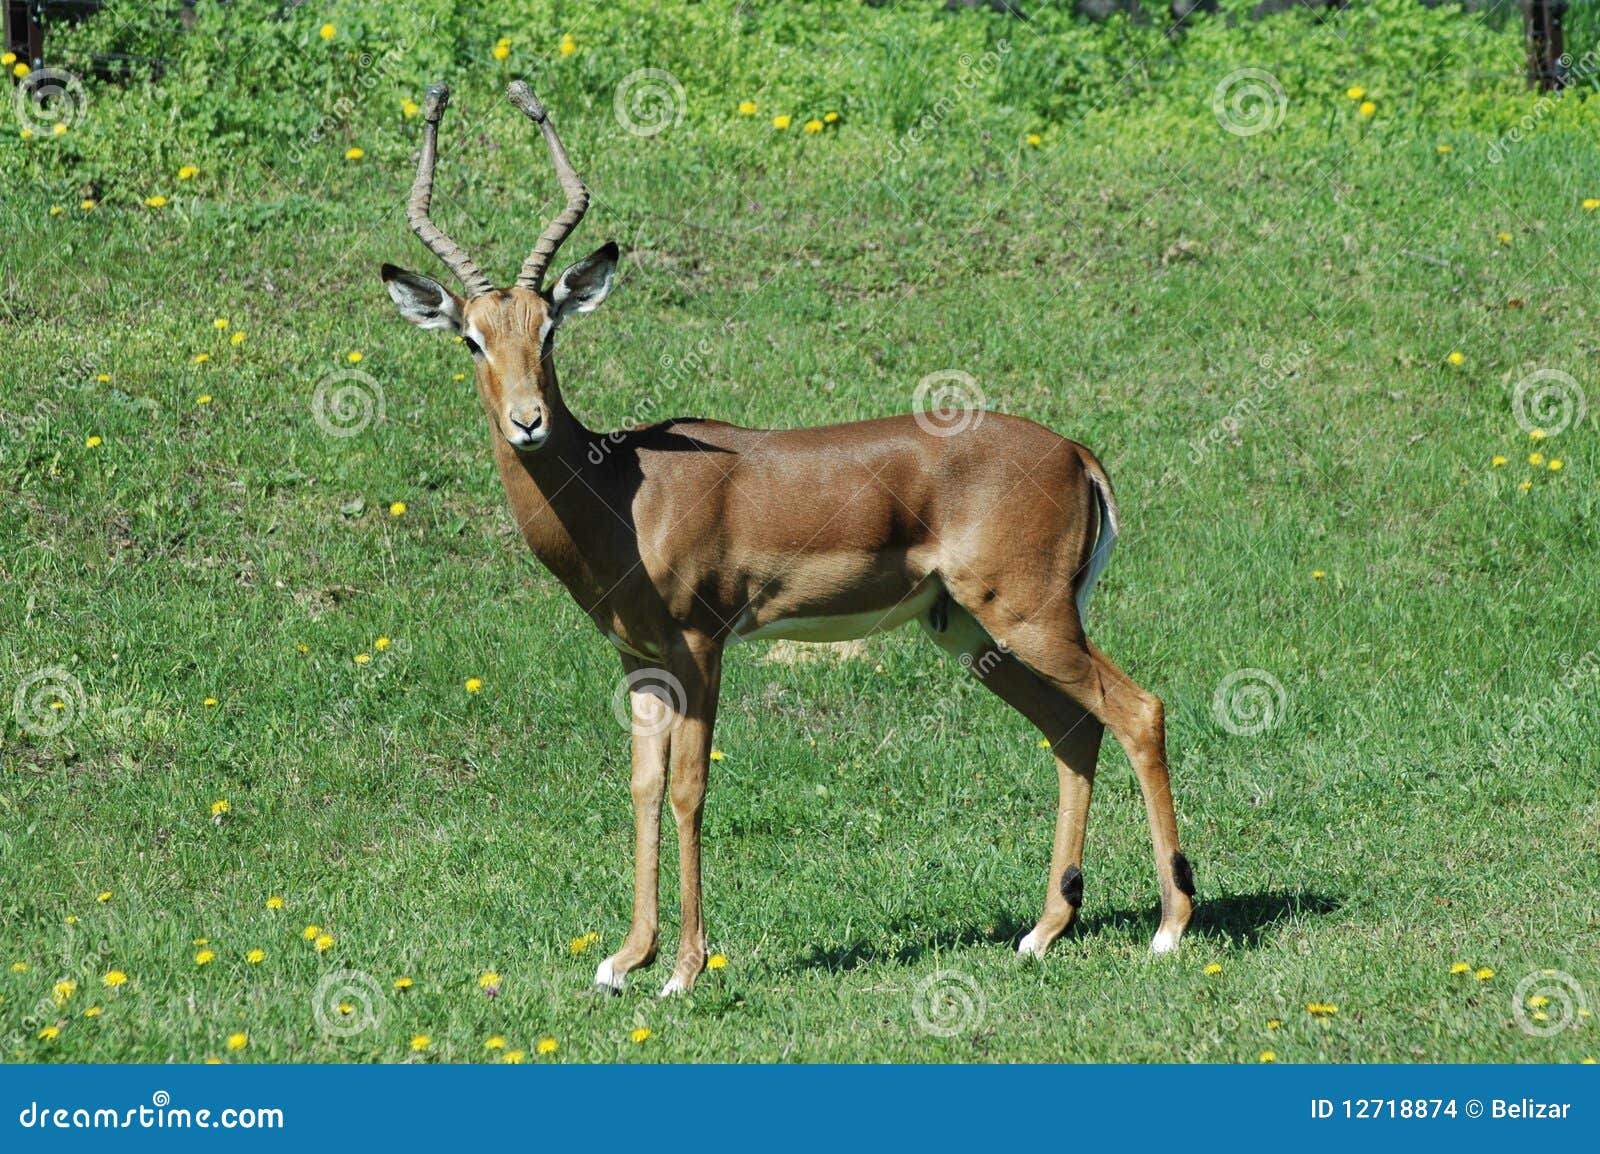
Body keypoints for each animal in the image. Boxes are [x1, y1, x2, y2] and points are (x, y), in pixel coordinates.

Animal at [381, 81, 1196, 996]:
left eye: (548, 331)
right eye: (472, 338)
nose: (528, 422)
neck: (622, 489)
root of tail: (1075, 451)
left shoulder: (701, 643)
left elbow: (689, 789)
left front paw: (684, 971)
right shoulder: (640, 659)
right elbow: (642, 786)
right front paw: (626, 959)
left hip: (1031, 618)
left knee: (1139, 711)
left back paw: (1170, 927)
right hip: (972, 633)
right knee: (1074, 729)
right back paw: (1043, 931)